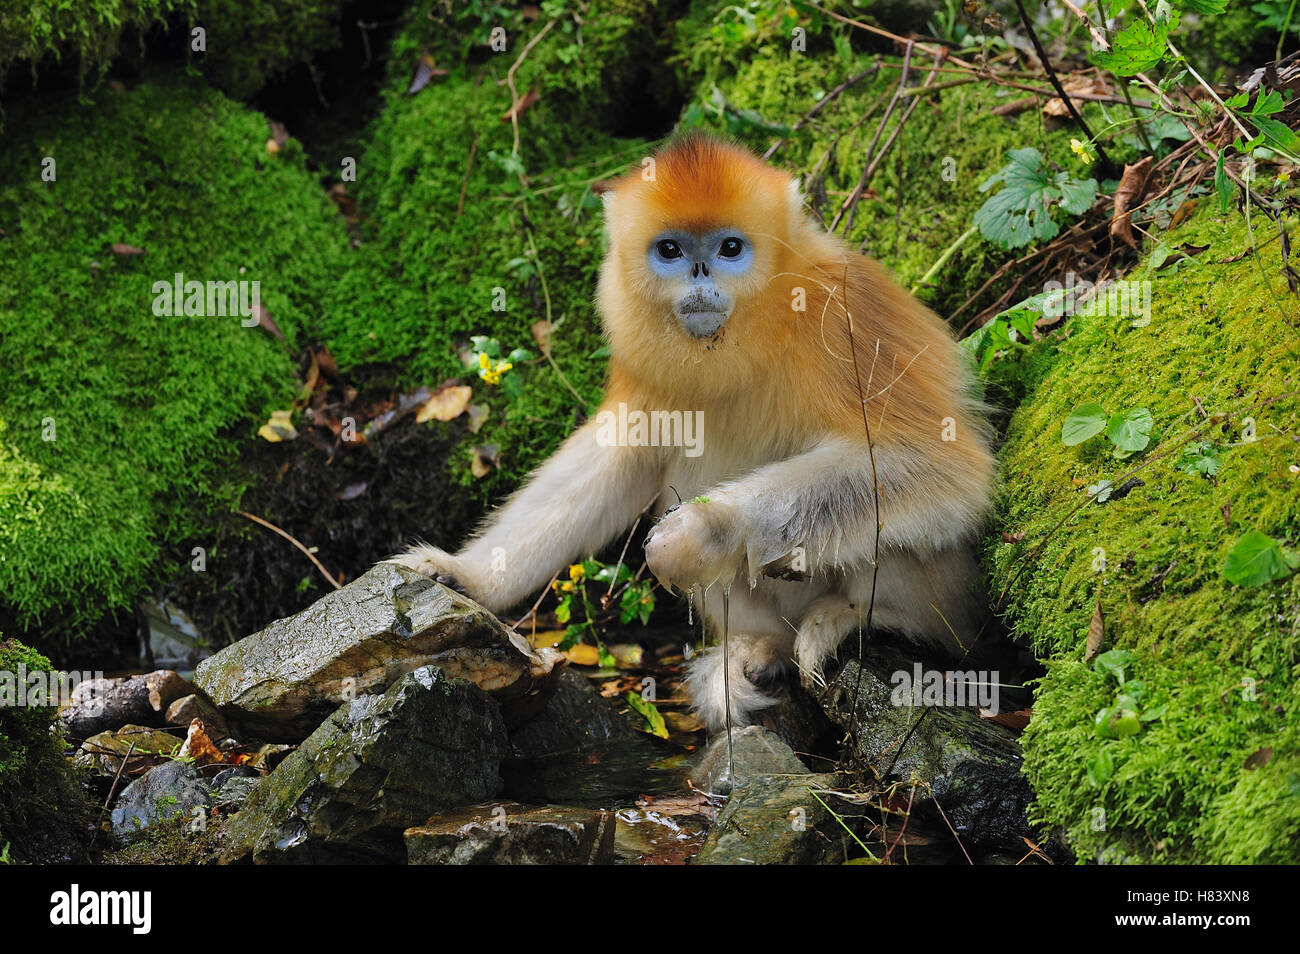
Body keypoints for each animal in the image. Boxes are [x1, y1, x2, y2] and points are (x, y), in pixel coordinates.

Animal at [391, 133, 996, 732]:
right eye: (671, 251)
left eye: (729, 249)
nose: (700, 274)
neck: (758, 324)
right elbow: (616, 463)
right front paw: (468, 577)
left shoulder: (846, 313)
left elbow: (937, 463)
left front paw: (704, 532)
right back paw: (761, 647)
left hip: (952, 596)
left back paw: (862, 616)